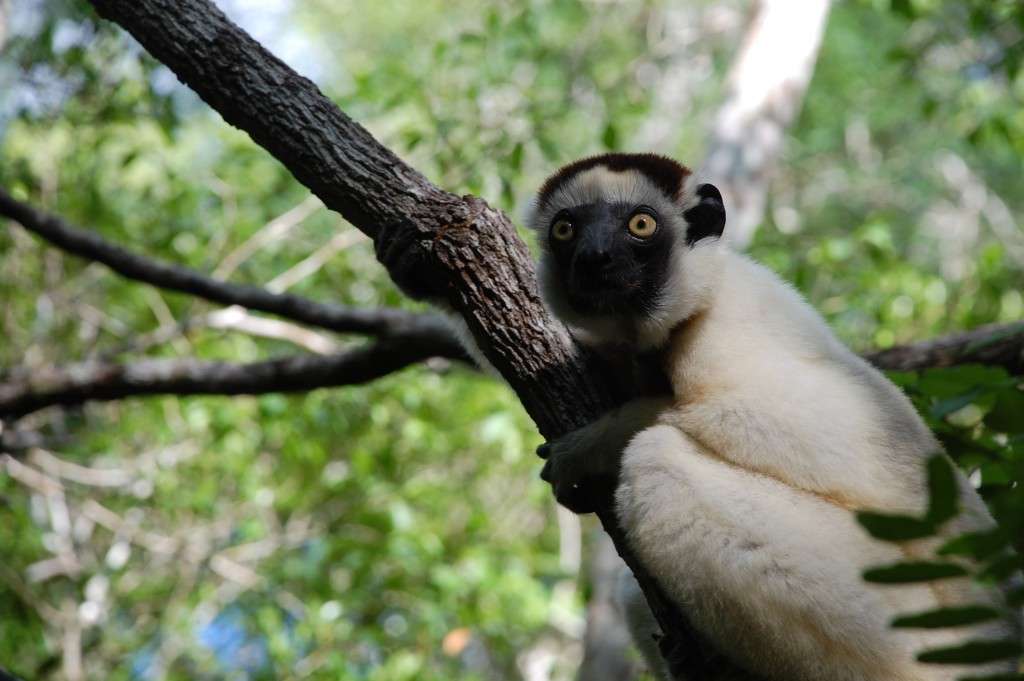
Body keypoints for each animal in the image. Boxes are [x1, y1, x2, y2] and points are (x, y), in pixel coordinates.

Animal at [527, 153, 1021, 681]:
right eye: (565, 229)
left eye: (641, 224)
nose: (594, 258)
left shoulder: (725, 326)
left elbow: (800, 424)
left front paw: (589, 449)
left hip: (907, 626)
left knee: (658, 462)